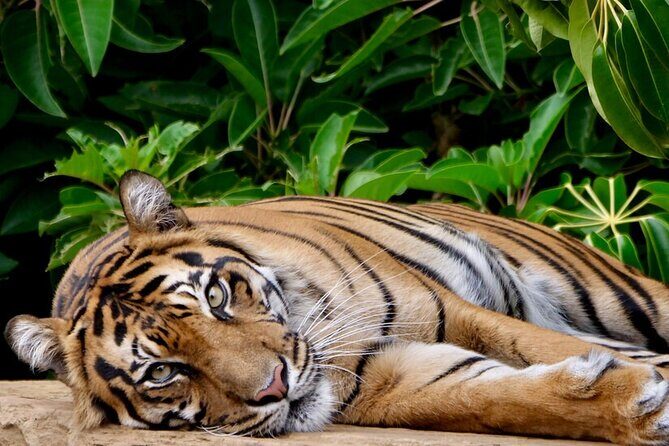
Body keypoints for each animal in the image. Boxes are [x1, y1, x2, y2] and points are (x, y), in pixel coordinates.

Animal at [6, 169, 669, 445]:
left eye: (216, 297)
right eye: (163, 372)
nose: (275, 386)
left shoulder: (454, 311)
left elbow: (539, 345)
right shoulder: (392, 381)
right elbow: (492, 400)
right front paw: (633, 405)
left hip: (616, 293)